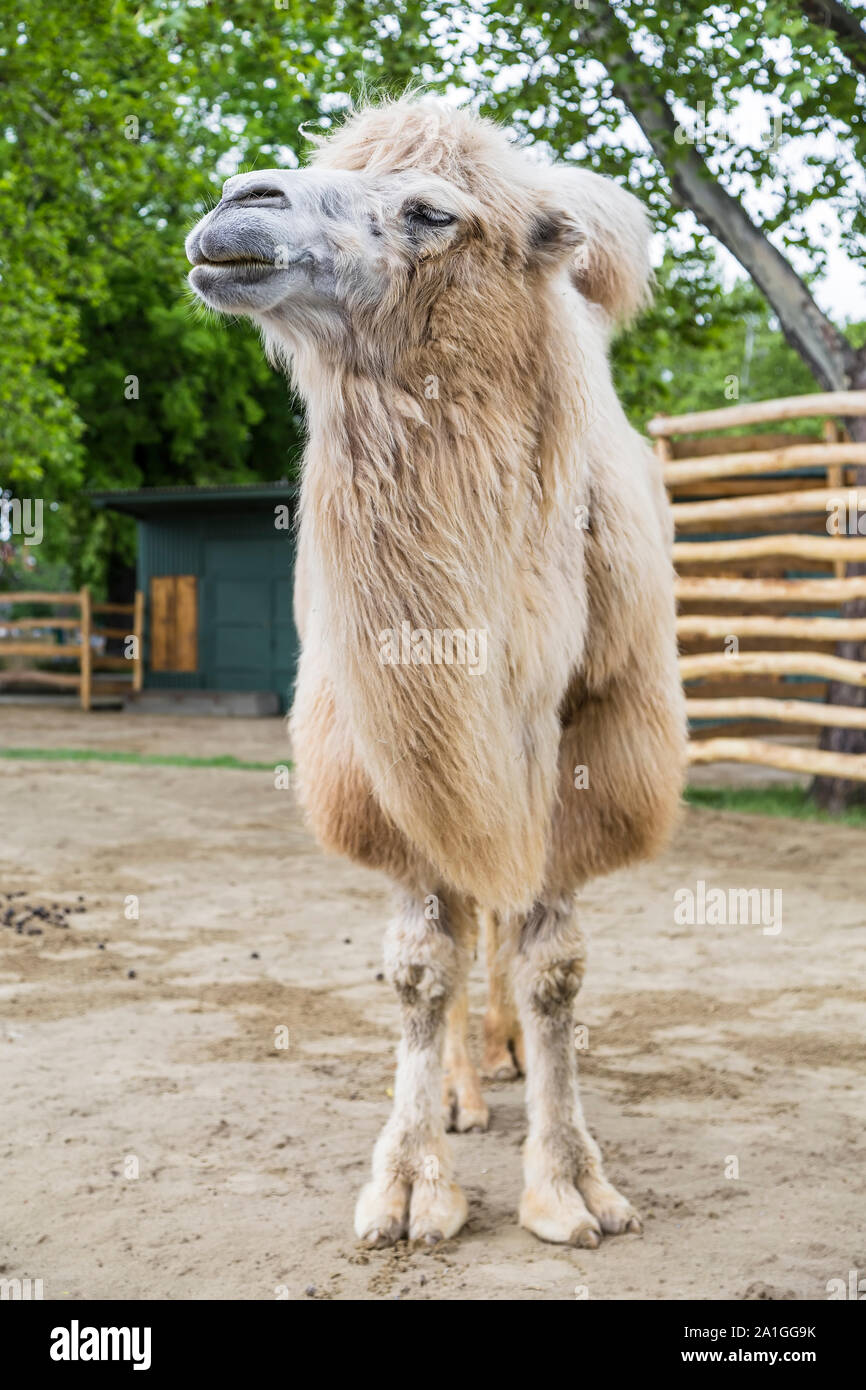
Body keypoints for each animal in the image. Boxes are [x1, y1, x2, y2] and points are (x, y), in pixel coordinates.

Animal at [186, 96, 687, 1249]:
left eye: (429, 212)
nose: (237, 204)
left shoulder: (593, 733)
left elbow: (553, 967)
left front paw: (571, 1187)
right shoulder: (387, 744)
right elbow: (421, 964)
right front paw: (410, 1186)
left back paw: (503, 1062)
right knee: (466, 919)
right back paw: (464, 1088)